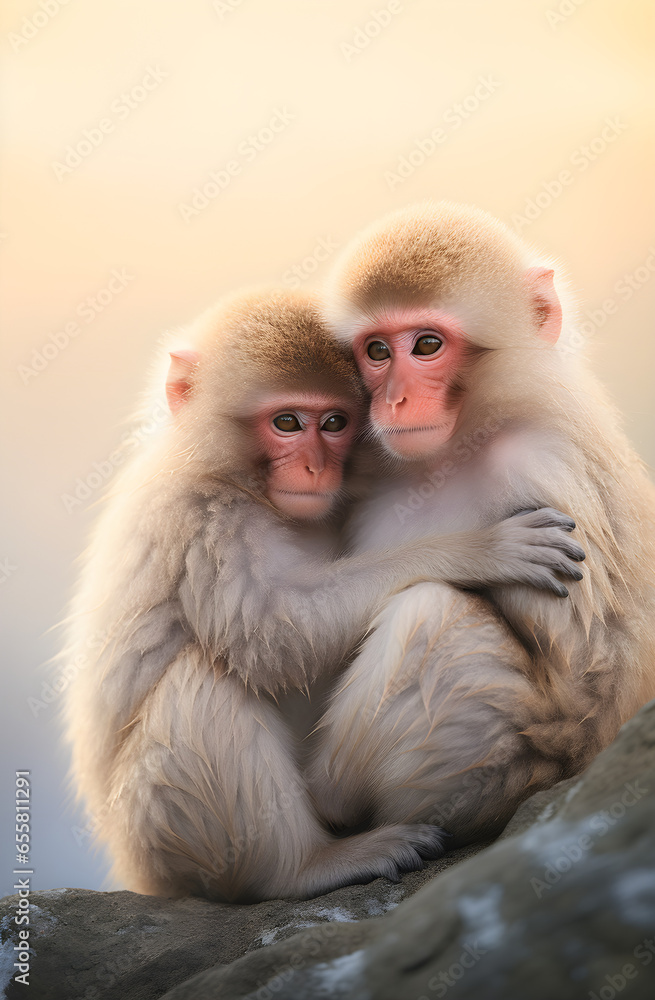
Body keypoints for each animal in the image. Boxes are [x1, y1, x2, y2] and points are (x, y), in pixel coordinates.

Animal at [63, 285, 587, 902]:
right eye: (288, 422)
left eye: (334, 422)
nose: (316, 467)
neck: (244, 485)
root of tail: (136, 871)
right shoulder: (203, 520)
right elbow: (277, 637)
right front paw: (477, 548)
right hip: (160, 839)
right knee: (204, 682)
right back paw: (306, 866)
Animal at [309, 200, 655, 845]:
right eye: (377, 352)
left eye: (426, 344)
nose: (393, 400)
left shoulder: (541, 464)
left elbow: (587, 679)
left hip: (475, 767)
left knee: (429, 615)